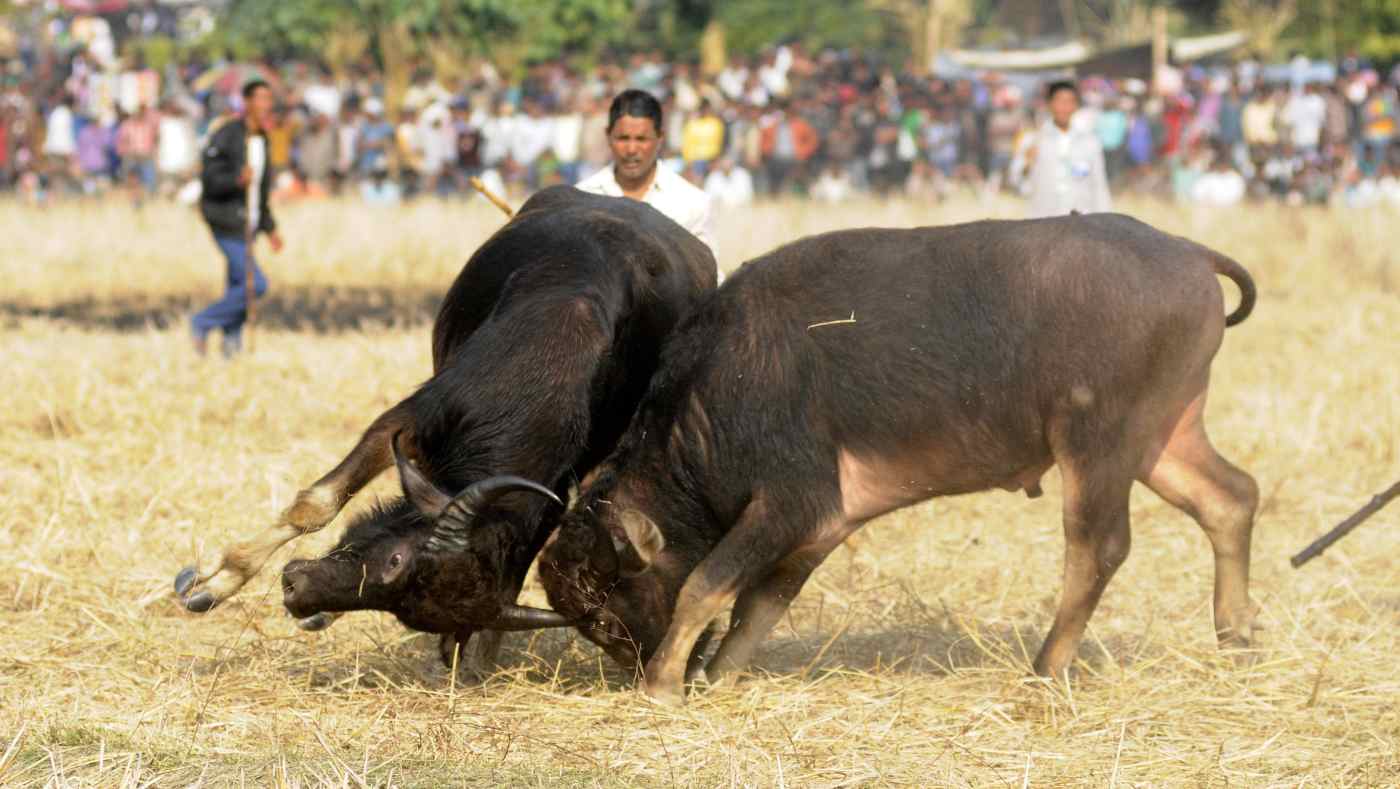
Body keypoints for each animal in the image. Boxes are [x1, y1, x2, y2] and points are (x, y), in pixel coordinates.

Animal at [173, 186, 716, 671]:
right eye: (396, 560)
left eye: (409, 606)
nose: (296, 593)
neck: (551, 347)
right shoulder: (412, 418)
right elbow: (318, 505)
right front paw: (214, 585)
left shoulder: (561, 481)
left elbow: (516, 562)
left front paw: (478, 659)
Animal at [537, 213, 1259, 705]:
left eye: (602, 607)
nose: (635, 665)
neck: (716, 395)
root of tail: (1189, 253)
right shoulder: (822, 525)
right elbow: (758, 605)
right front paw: (716, 676)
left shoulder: (789, 503)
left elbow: (705, 584)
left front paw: (665, 685)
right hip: (1162, 437)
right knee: (1231, 498)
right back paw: (1235, 636)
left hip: (1097, 441)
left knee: (1098, 547)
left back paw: (1047, 667)